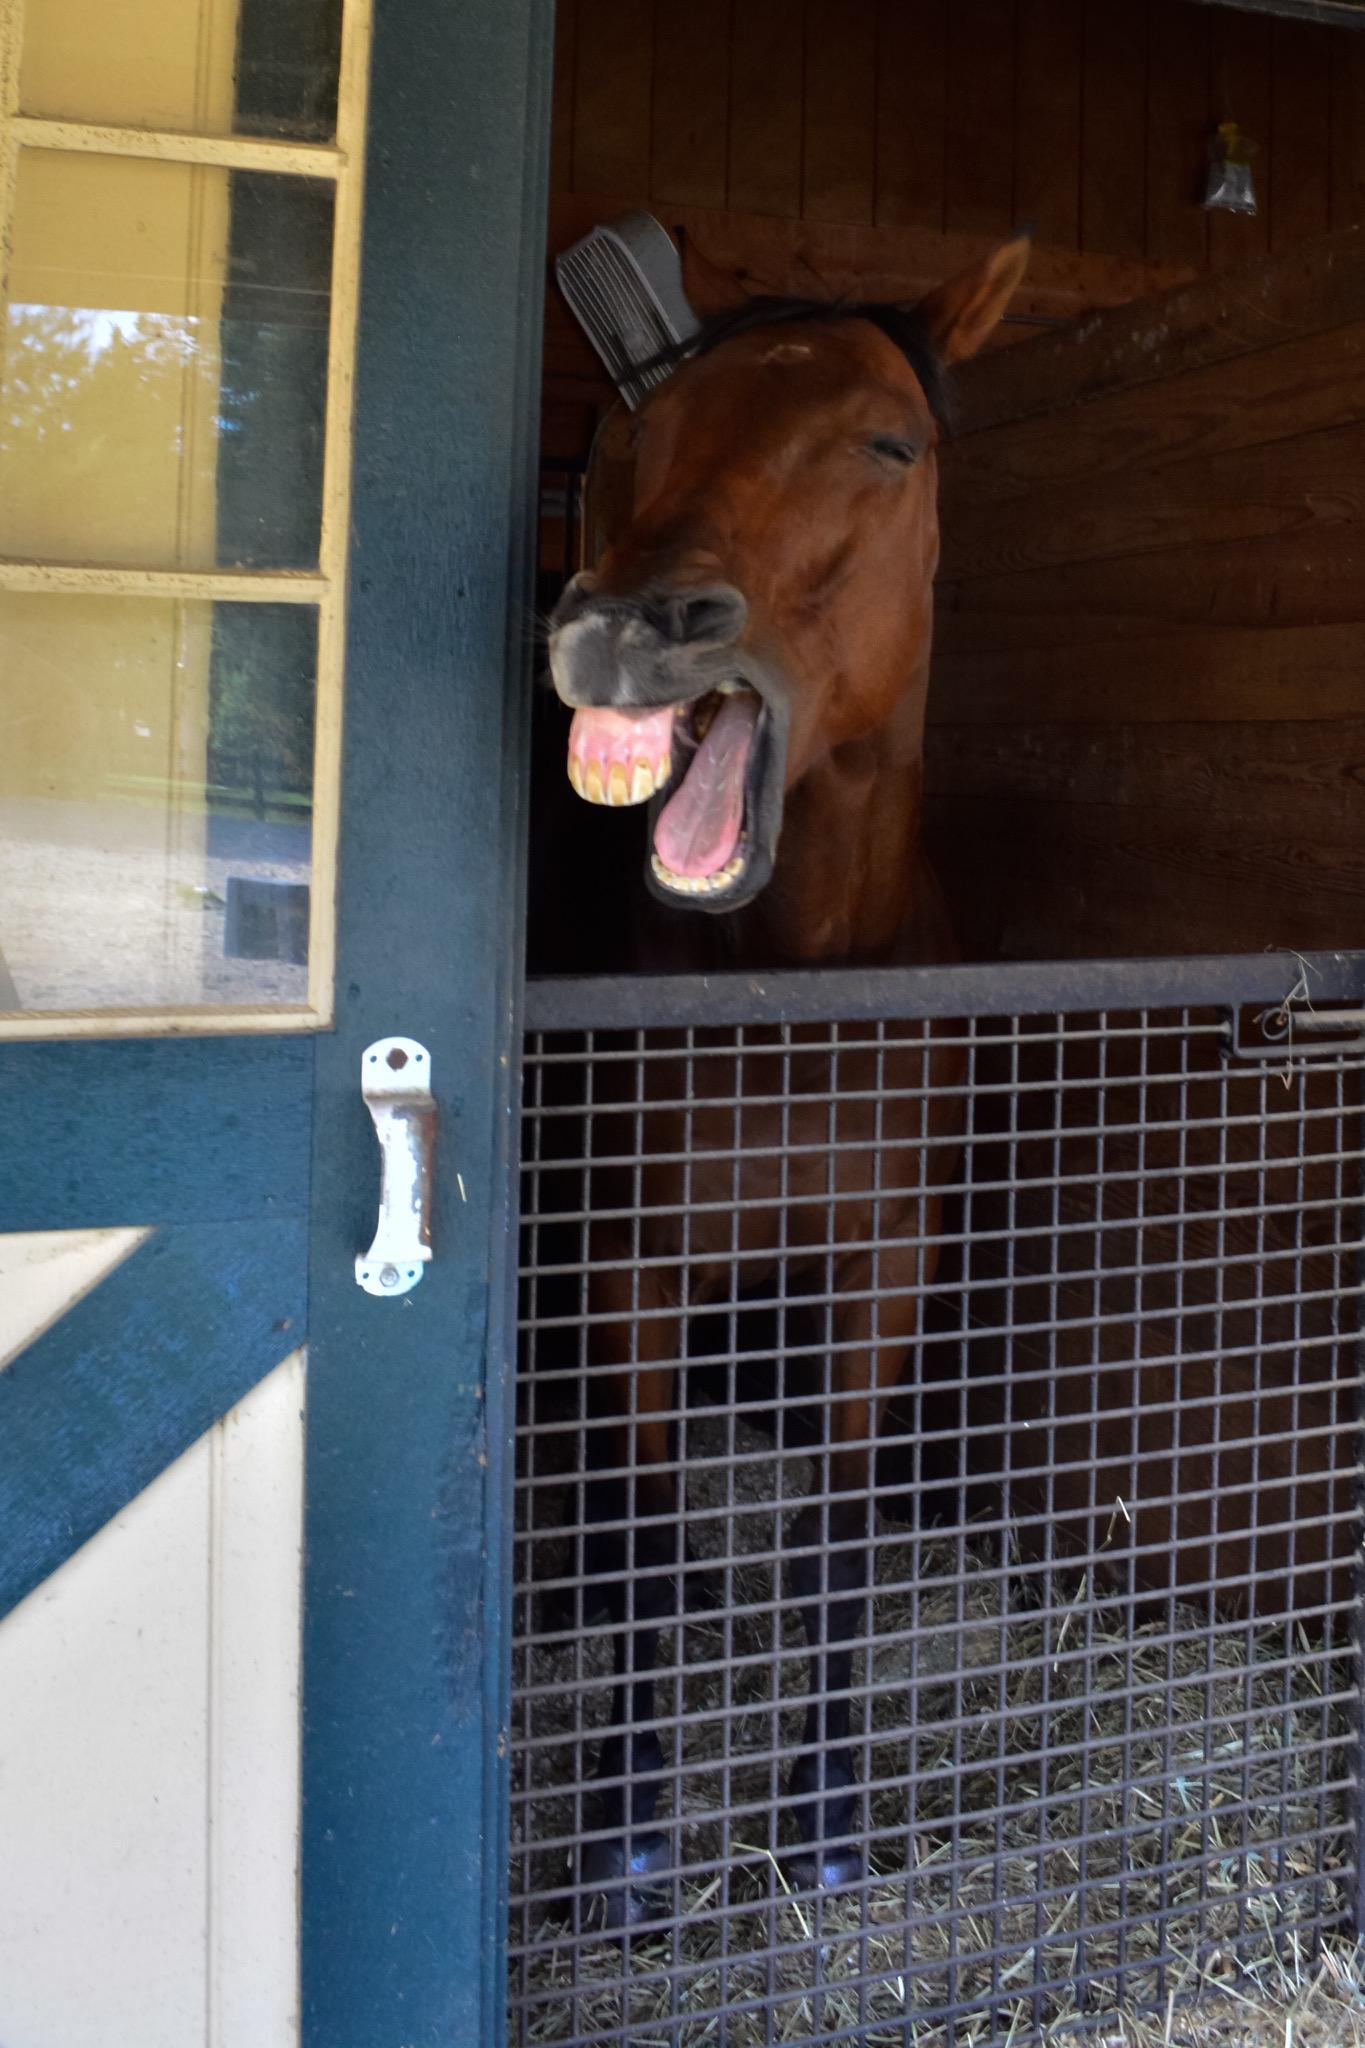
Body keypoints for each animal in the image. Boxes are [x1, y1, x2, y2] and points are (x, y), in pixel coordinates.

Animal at [544, 235, 1030, 1928]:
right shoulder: (628, 1261)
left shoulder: (884, 1266)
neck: (792, 999)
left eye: (887, 443)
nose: (626, 627)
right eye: (644, 437)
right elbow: (639, 1519)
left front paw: (825, 1814)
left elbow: (832, 1537)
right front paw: (626, 1838)